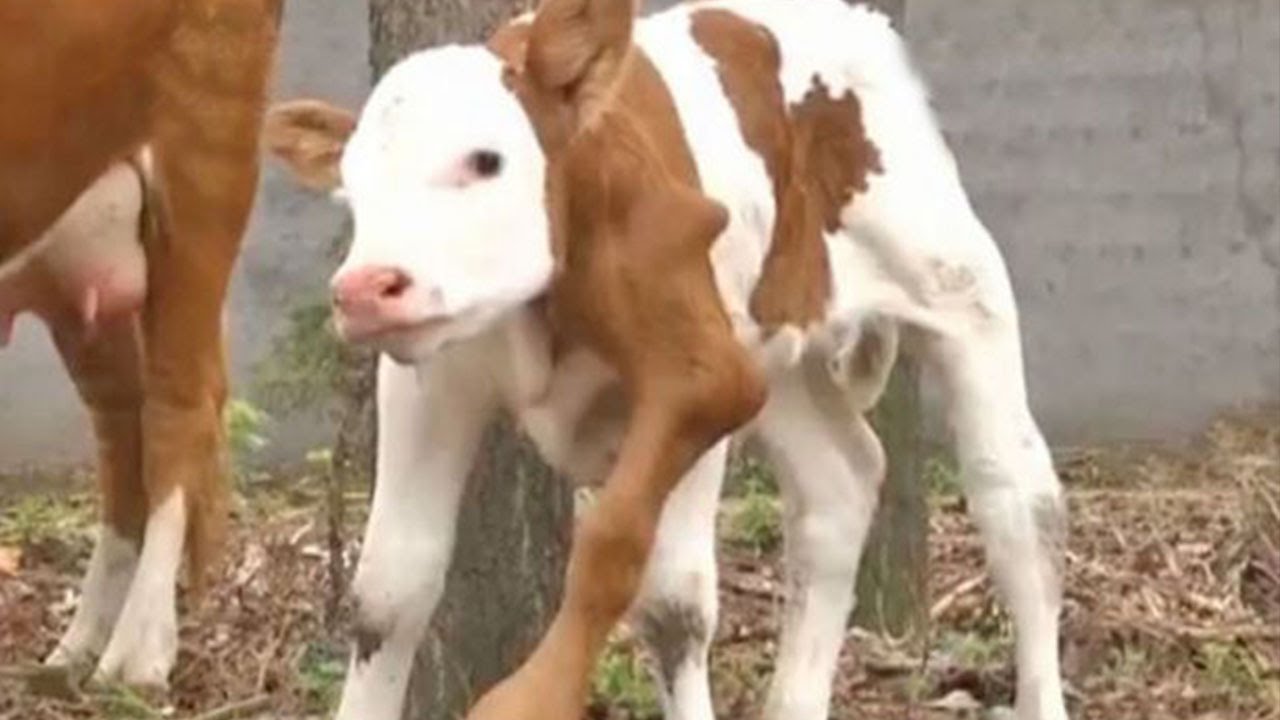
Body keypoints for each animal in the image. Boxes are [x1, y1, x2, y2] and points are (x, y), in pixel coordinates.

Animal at [0, 0, 281, 689]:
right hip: (75, 255)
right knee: (121, 429)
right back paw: (79, 645)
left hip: (207, 136)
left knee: (179, 409)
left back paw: (137, 653)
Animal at [264, 0, 1071, 718]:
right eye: (351, 189)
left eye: (486, 159)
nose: (365, 289)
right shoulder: (431, 382)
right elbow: (390, 592)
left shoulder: (702, 377)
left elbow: (649, 581)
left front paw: (528, 699)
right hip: (781, 363)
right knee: (841, 484)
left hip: (955, 286)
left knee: (1018, 504)